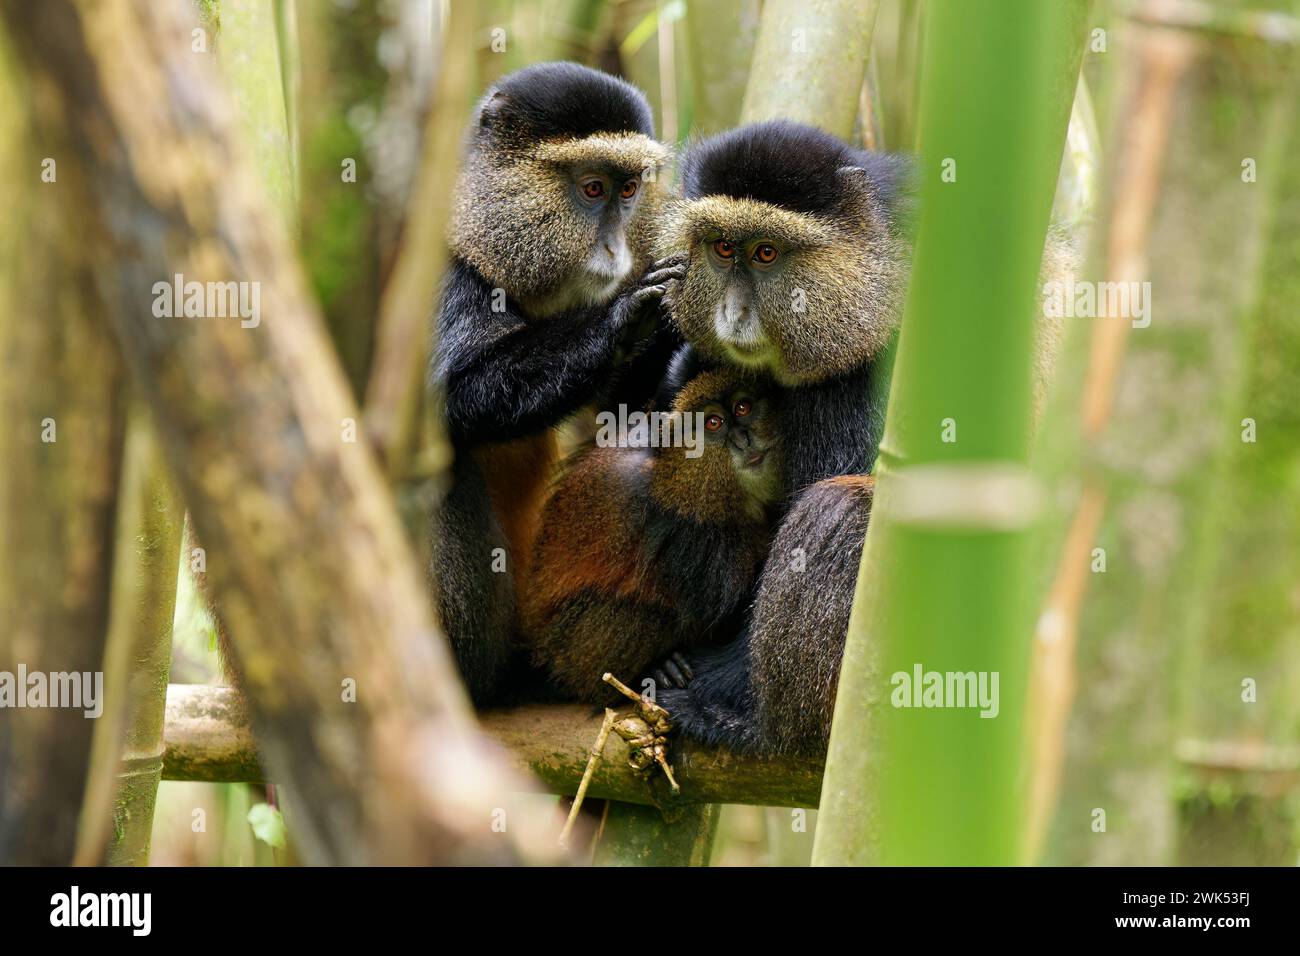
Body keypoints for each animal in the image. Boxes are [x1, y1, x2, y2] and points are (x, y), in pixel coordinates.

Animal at [519, 366, 783, 705]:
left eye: (743, 407)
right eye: (713, 423)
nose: (744, 440)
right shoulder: (679, 527)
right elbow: (719, 605)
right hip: (574, 647)